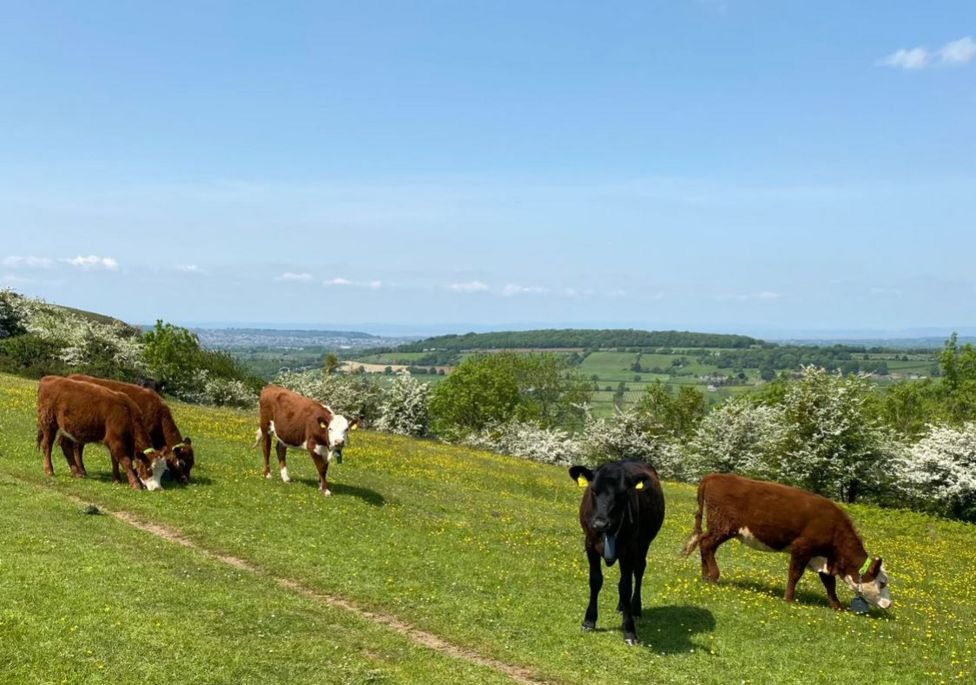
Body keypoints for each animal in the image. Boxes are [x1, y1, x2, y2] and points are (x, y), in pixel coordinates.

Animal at [36, 376, 168, 491]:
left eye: (162, 472)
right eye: (149, 469)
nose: (157, 489)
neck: (127, 413)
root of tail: (49, 378)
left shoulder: (116, 442)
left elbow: (115, 460)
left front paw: (117, 479)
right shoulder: (116, 440)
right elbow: (126, 461)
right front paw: (135, 483)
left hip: (68, 430)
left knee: (66, 446)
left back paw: (77, 472)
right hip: (49, 423)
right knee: (47, 445)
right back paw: (49, 470)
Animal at [568, 460, 666, 645]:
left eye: (622, 493)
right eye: (593, 490)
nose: (600, 523)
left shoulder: (628, 549)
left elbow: (625, 586)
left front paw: (629, 630)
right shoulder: (590, 544)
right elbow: (595, 580)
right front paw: (589, 621)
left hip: (644, 543)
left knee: (639, 570)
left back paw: (635, 608)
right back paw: (622, 606)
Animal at [681, 473, 892, 611]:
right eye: (882, 583)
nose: (890, 604)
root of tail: (714, 476)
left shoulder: (823, 558)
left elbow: (829, 584)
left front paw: (837, 606)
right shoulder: (802, 548)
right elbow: (795, 574)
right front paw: (789, 599)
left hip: (717, 526)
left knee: (703, 542)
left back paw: (705, 576)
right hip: (723, 526)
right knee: (707, 544)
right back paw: (714, 576)